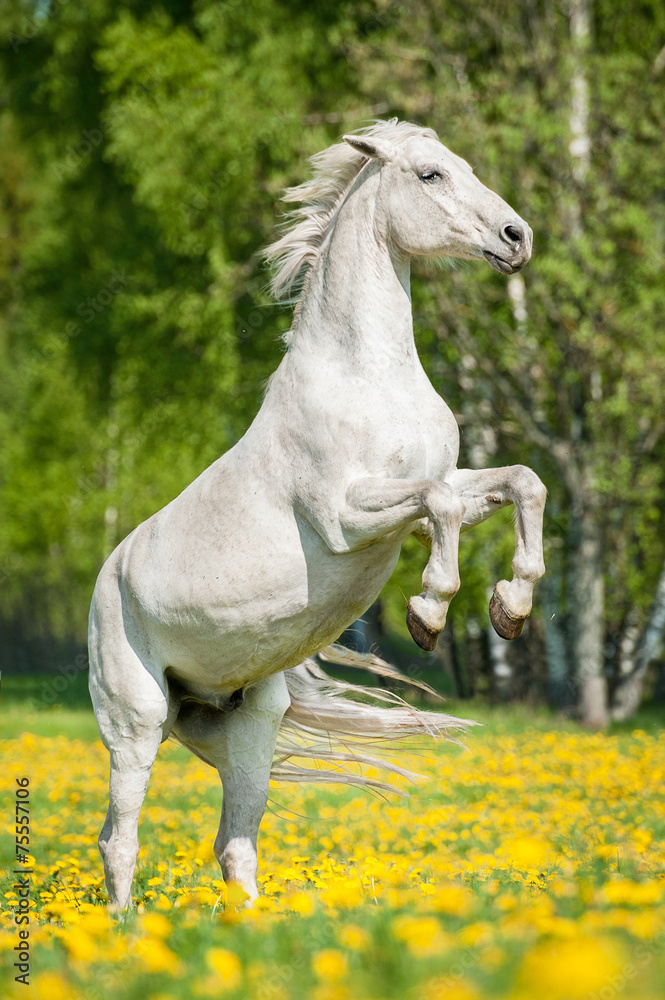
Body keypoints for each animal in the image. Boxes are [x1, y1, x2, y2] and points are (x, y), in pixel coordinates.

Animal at [88, 119, 546, 911]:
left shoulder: (436, 492)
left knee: (234, 846)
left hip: (249, 726)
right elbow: (442, 507)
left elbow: (521, 483)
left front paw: (510, 606)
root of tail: (105, 578)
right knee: (120, 842)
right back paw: (121, 932)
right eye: (430, 174)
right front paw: (429, 615)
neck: (367, 375)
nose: (515, 237)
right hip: (135, 723)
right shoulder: (347, 517)